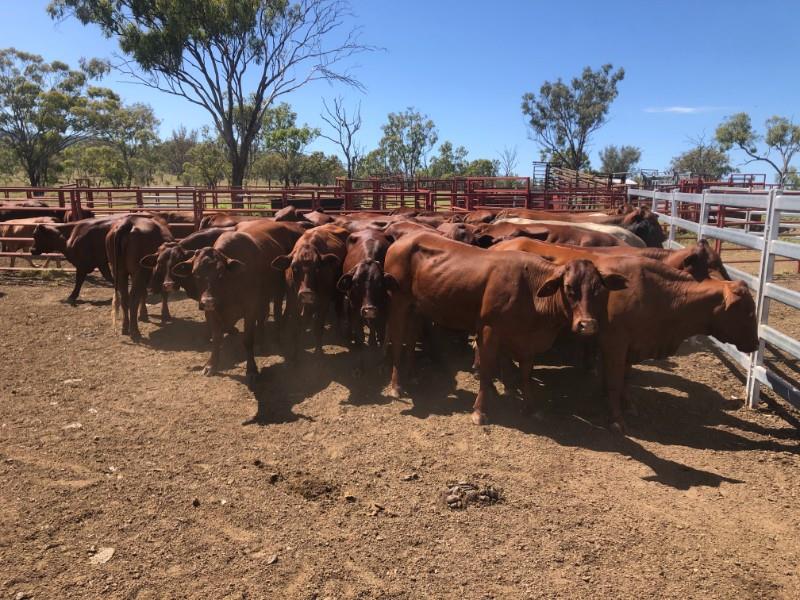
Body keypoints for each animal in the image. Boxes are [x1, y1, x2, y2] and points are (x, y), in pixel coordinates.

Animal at [170, 221, 305, 387]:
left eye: (221, 273)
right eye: (195, 273)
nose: (208, 301)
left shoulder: (250, 308)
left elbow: (247, 340)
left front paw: (251, 370)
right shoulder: (212, 312)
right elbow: (216, 338)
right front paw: (211, 365)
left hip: (278, 292)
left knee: (278, 313)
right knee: (262, 317)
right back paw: (261, 341)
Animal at [271, 224, 349, 358]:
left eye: (318, 267)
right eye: (294, 267)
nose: (306, 293)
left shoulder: (324, 301)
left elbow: (318, 327)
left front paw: (318, 352)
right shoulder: (293, 301)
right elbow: (296, 327)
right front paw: (295, 353)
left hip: (338, 294)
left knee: (339, 310)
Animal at [337, 229, 392, 373]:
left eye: (380, 283)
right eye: (356, 283)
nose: (369, 310)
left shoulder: (384, 311)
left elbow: (381, 335)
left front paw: (380, 364)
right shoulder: (355, 311)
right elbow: (360, 338)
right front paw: (359, 367)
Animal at [383, 232, 627, 425]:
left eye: (598, 289)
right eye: (568, 287)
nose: (587, 325)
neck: (530, 289)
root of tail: (403, 239)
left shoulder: (526, 340)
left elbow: (526, 372)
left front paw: (530, 407)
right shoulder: (489, 329)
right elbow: (487, 368)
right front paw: (480, 411)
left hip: (416, 307)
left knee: (411, 338)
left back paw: (413, 375)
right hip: (398, 302)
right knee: (396, 338)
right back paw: (396, 384)